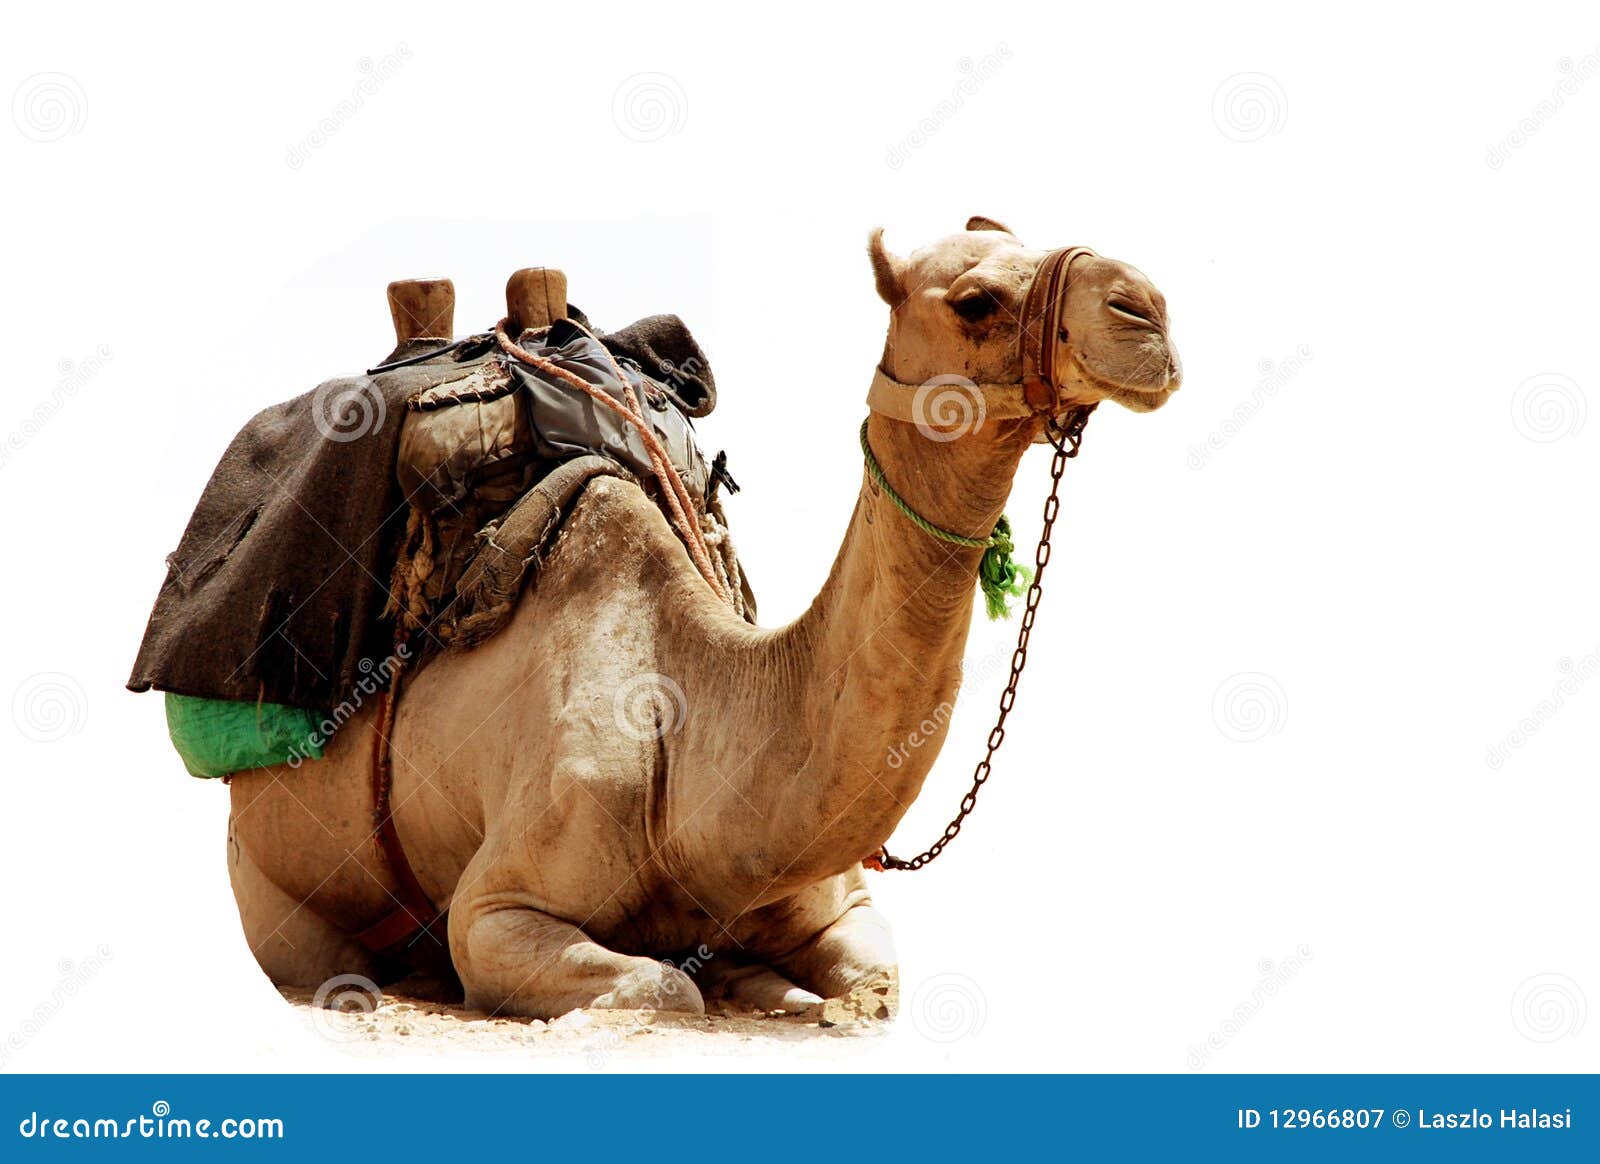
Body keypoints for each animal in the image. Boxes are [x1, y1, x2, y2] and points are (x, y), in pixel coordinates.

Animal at [225, 218, 1180, 1019]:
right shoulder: (495, 907)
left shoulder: (838, 902)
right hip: (272, 892)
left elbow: (876, 984)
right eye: (976, 300)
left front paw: (773, 985)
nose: (1147, 311)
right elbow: (660, 990)